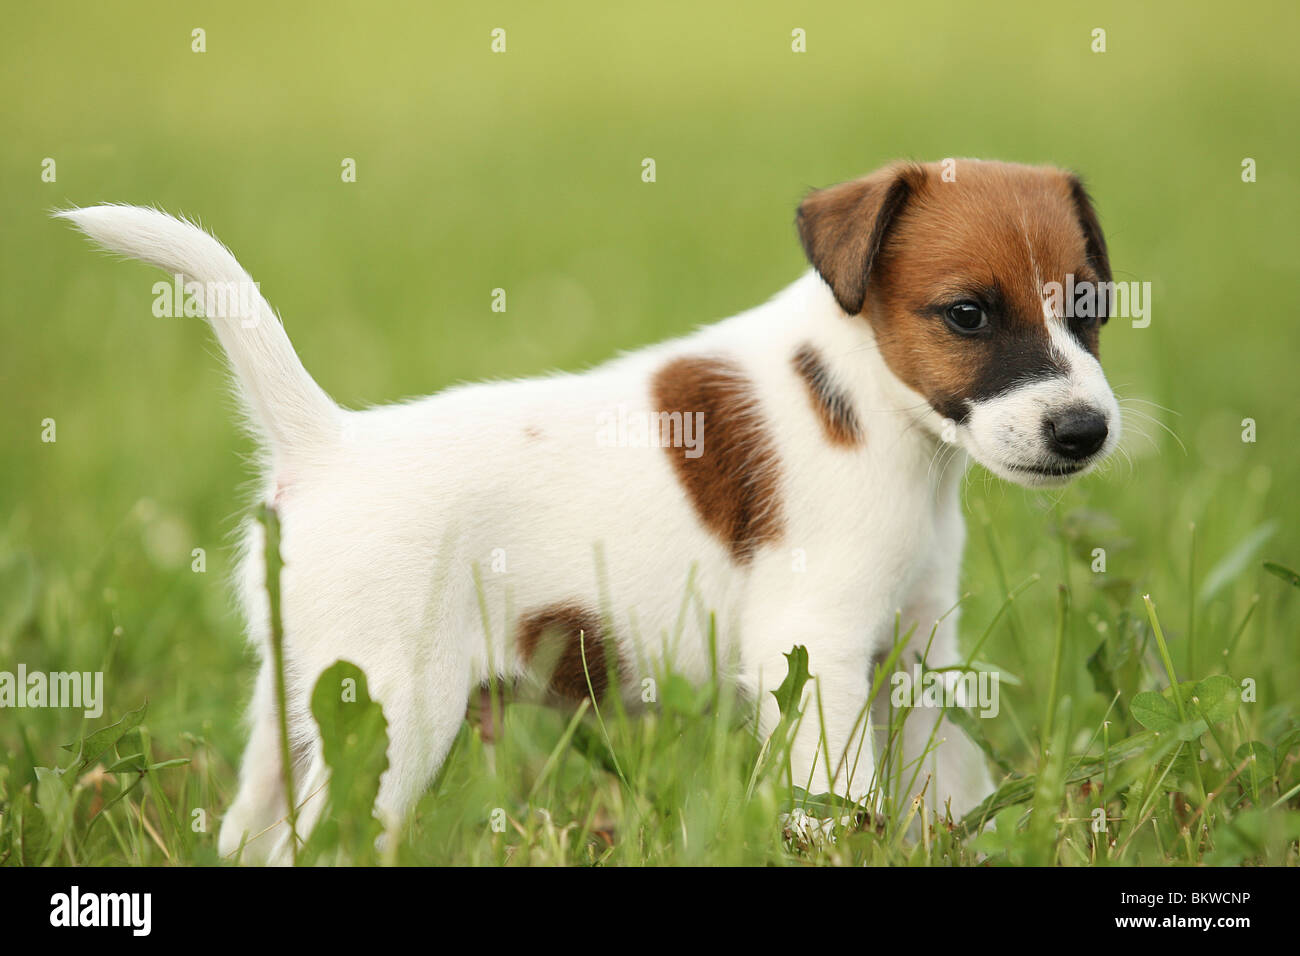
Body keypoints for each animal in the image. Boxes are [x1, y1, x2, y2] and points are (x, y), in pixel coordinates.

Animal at [58, 158, 1118, 868]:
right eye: (968, 314)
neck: (878, 407)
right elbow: (839, 793)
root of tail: (324, 445)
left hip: (301, 703)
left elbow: (946, 773)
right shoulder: (818, 654)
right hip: (396, 719)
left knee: (254, 826)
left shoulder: (916, 654)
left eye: (1092, 305)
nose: (1086, 429)